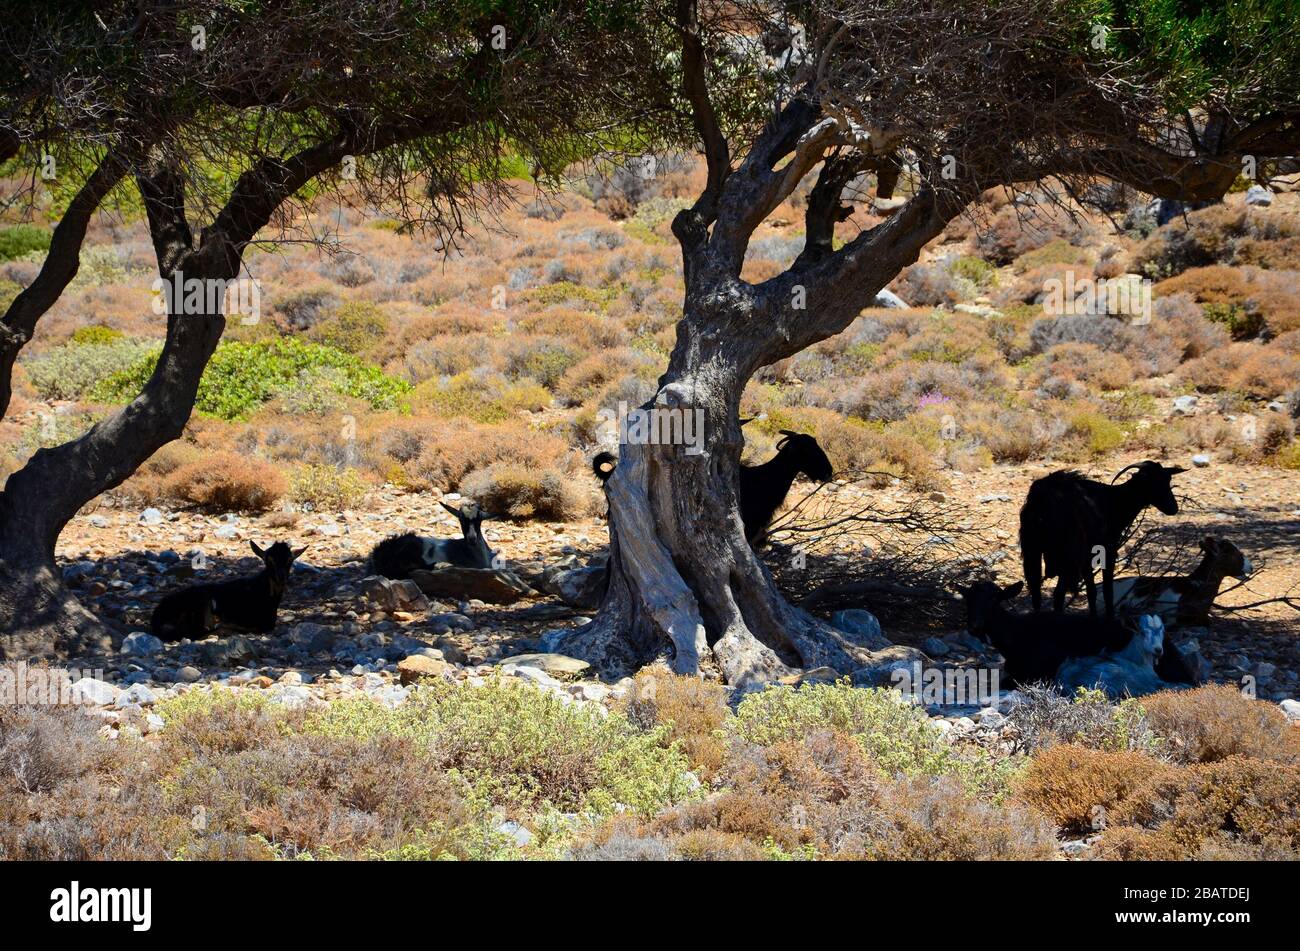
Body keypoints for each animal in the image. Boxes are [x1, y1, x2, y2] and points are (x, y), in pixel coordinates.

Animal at [1019, 461, 1185, 619]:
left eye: (1168, 479)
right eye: (1151, 481)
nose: (1173, 508)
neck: (1114, 501)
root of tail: (1042, 501)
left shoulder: (1088, 558)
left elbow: (1092, 591)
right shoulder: (1107, 550)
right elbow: (1107, 590)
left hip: (1032, 550)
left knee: (1036, 592)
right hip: (1068, 556)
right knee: (1058, 594)